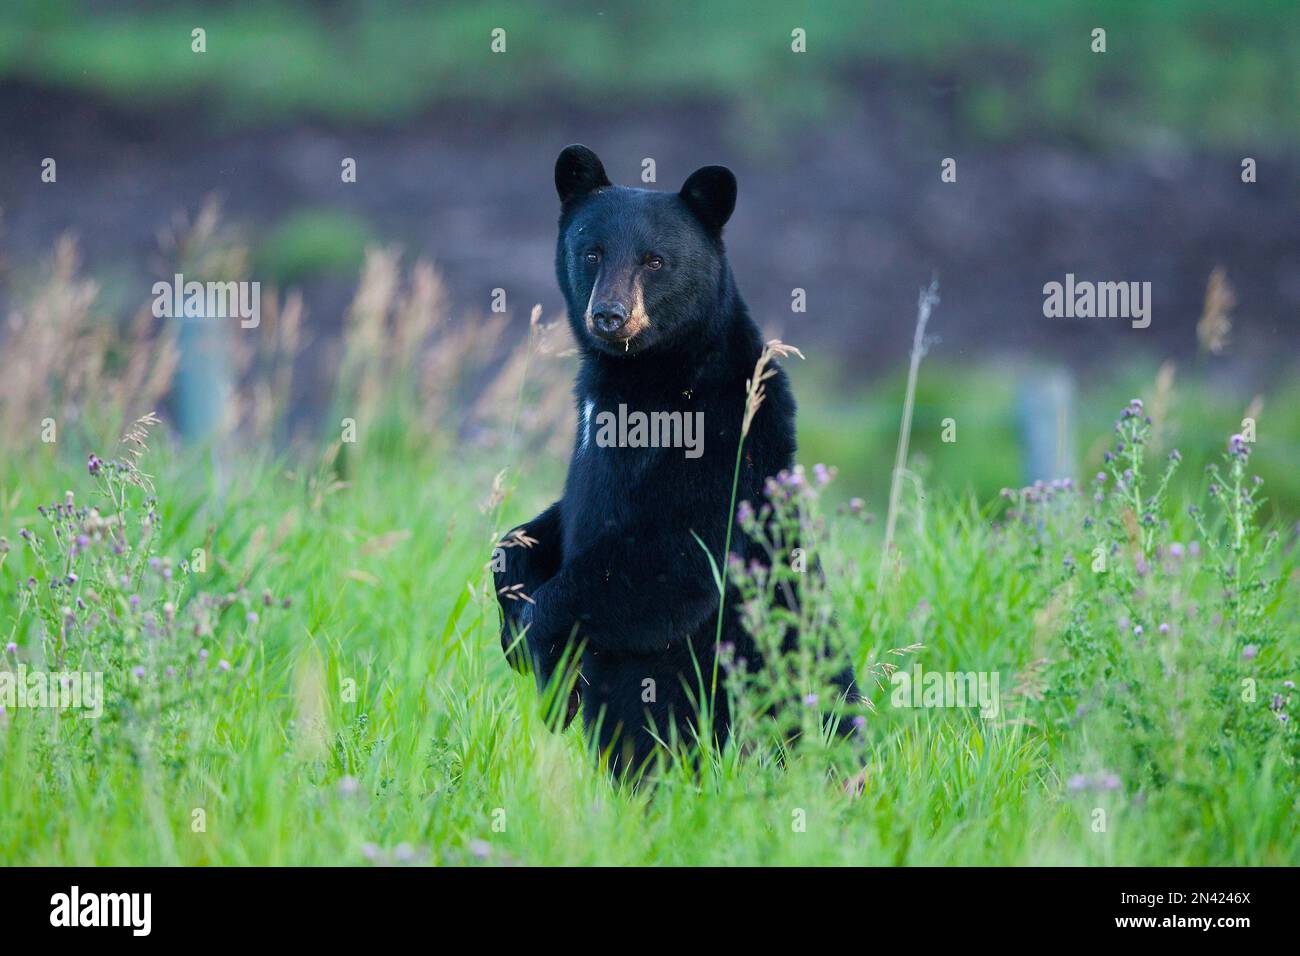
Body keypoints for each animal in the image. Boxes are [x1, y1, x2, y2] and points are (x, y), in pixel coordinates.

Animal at [495, 144, 855, 778]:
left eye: (655, 261)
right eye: (591, 251)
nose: (610, 315)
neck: (643, 375)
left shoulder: (719, 435)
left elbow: (672, 557)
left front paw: (546, 661)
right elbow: (542, 526)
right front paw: (511, 602)